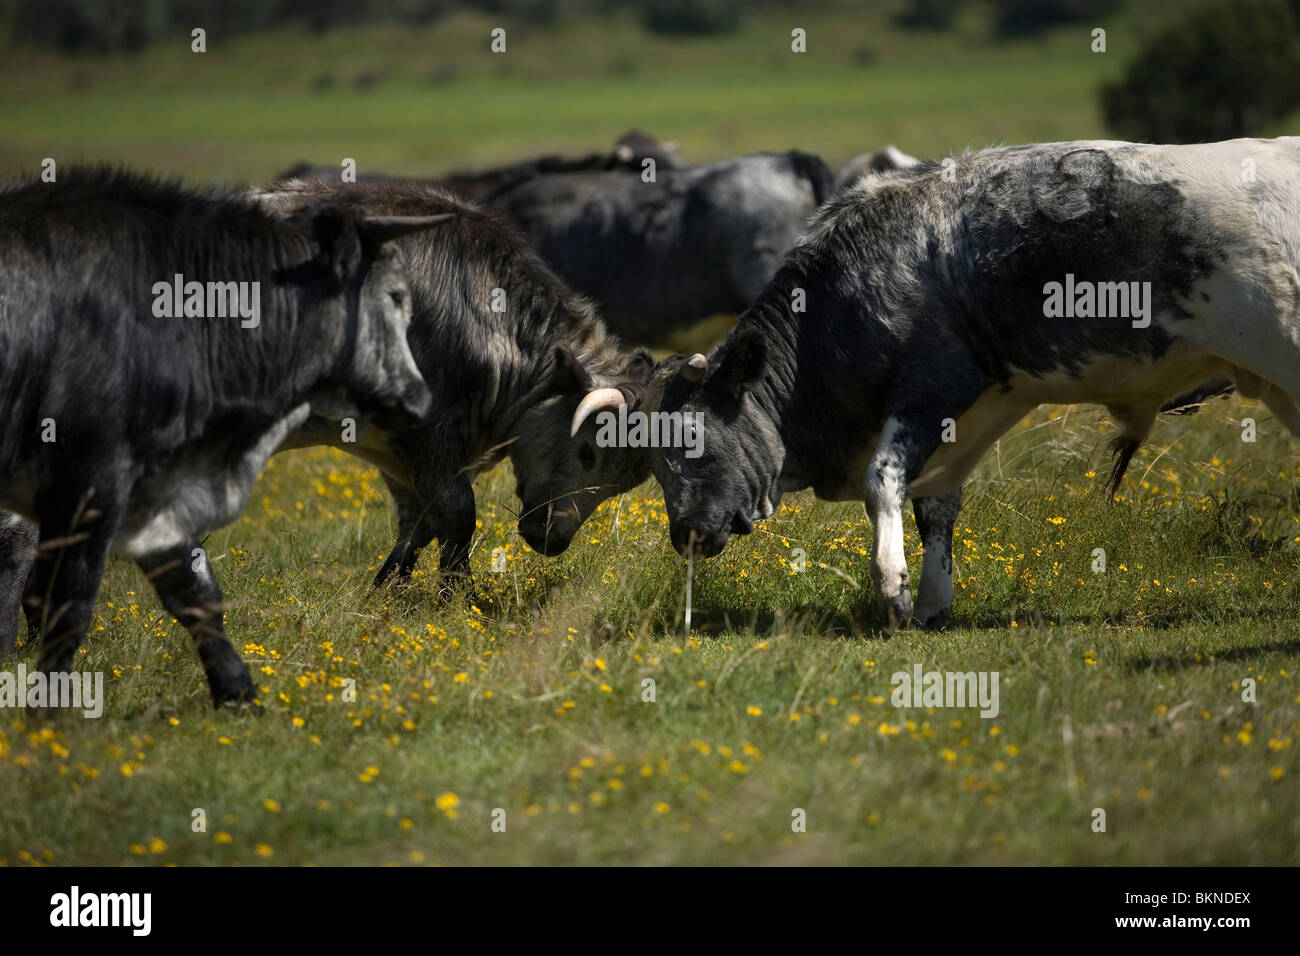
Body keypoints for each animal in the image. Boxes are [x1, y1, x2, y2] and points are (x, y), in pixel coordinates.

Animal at [0, 167, 445, 705]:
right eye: (396, 296)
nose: (421, 397)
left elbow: (193, 588)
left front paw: (237, 694)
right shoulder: (93, 478)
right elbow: (70, 601)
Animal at [630, 138, 1300, 631]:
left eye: (695, 444)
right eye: (655, 466)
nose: (685, 536)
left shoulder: (929, 389)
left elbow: (883, 481)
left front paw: (894, 590)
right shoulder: (972, 411)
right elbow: (935, 506)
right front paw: (931, 599)